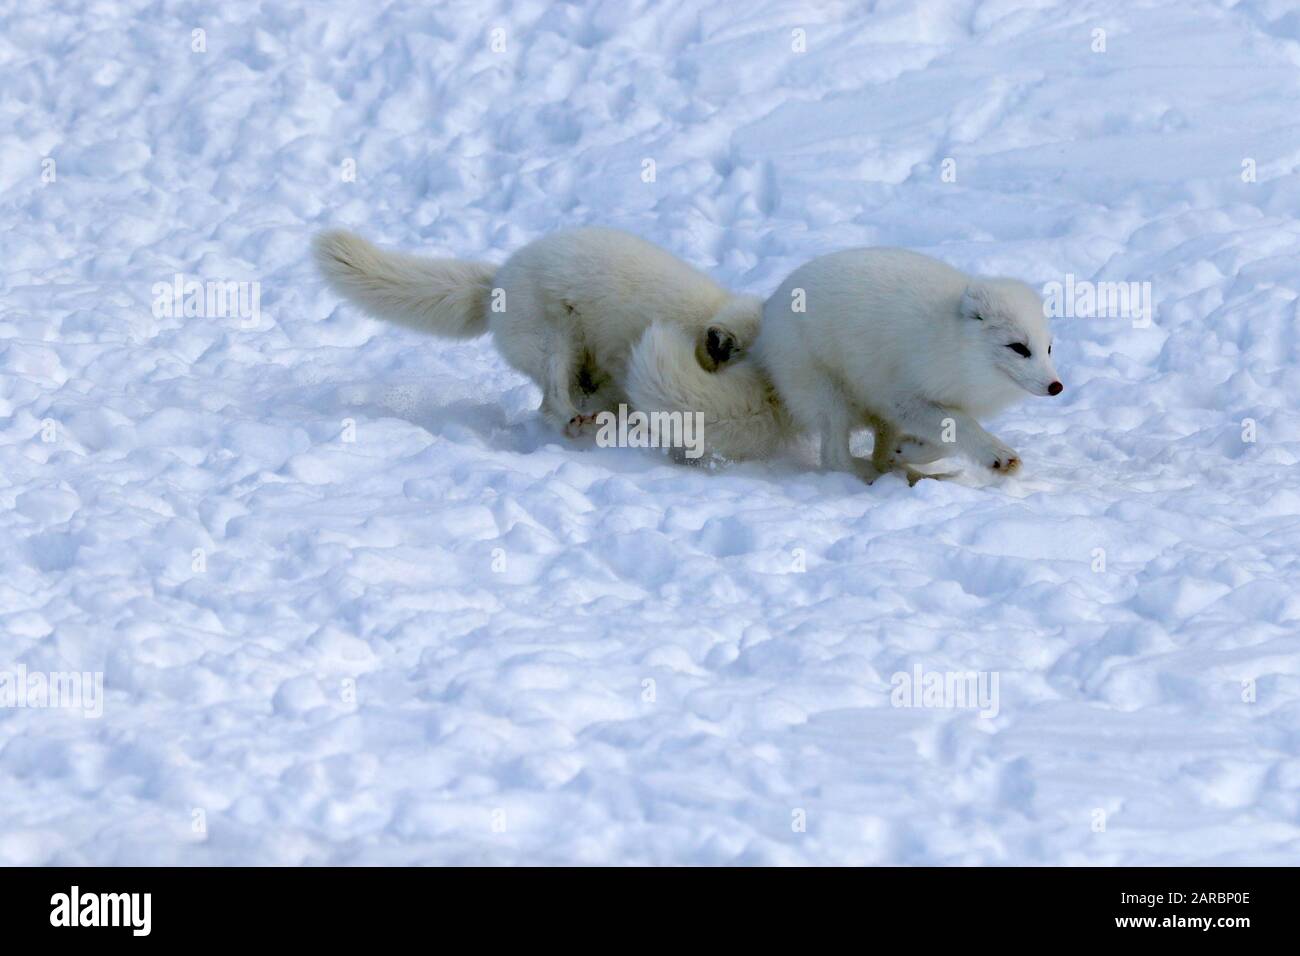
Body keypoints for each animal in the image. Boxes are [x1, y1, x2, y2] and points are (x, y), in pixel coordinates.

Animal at [629, 247, 1063, 481]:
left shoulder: (914, 405)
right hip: (829, 396)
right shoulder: (904, 396)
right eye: (1018, 347)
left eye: (1048, 348)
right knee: (833, 457)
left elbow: (944, 436)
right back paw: (866, 477)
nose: (1056, 387)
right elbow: (959, 427)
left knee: (876, 450)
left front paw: (911, 452)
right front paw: (998, 455)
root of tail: (766, 328)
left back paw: (905, 471)